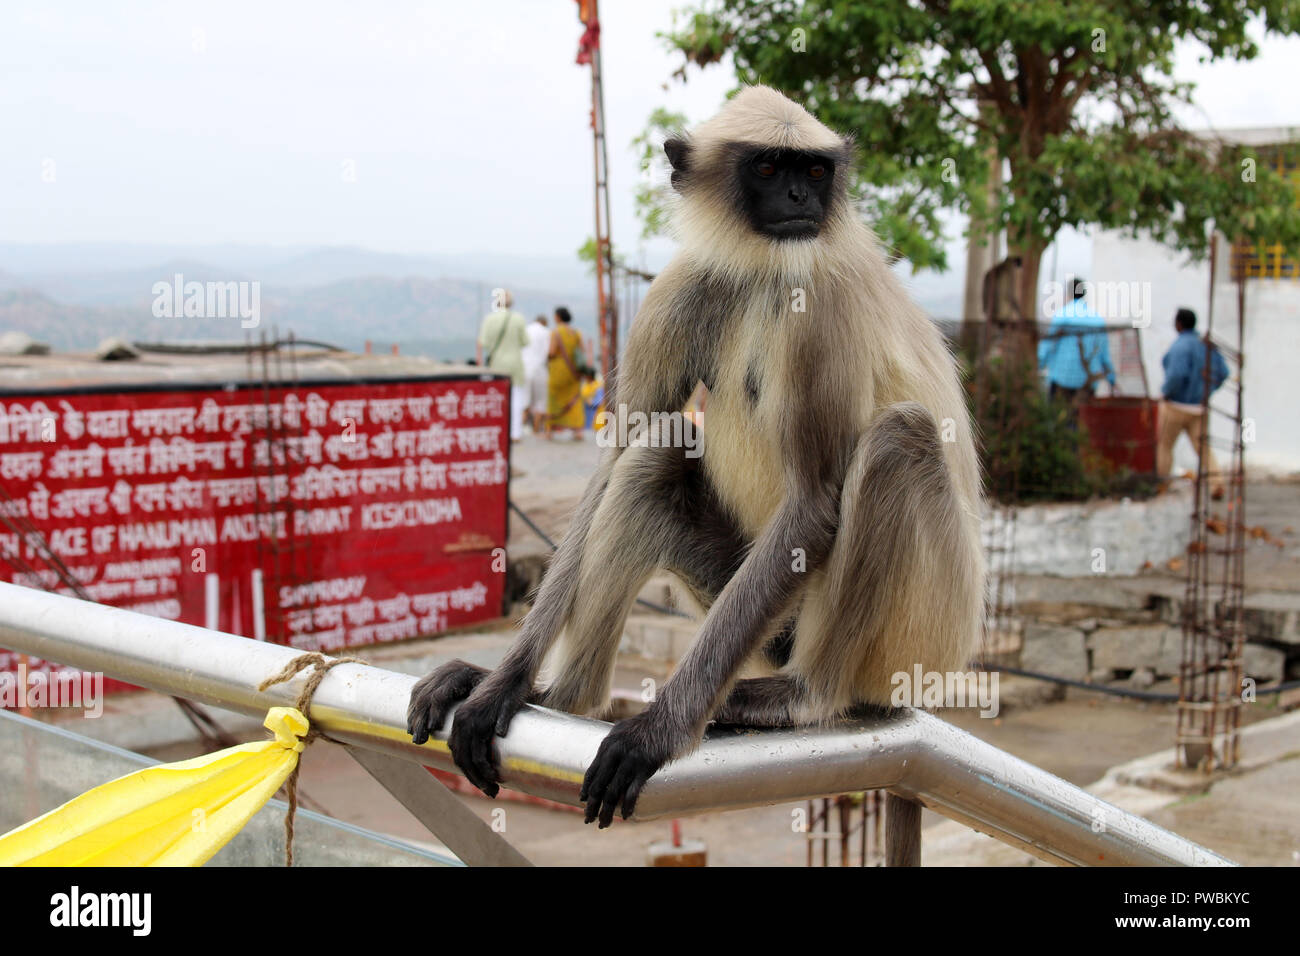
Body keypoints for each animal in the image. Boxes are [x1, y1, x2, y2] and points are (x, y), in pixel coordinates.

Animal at [408, 86, 985, 829]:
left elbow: (814, 501)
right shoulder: (684, 284)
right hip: (760, 621)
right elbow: (617, 456)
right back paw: (558, 698)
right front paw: (501, 685)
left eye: (814, 170)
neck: (766, 270)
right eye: (768, 168)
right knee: (655, 456)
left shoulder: (821, 298)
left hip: (917, 635)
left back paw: (805, 696)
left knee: (899, 439)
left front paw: (659, 731)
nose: (800, 195)